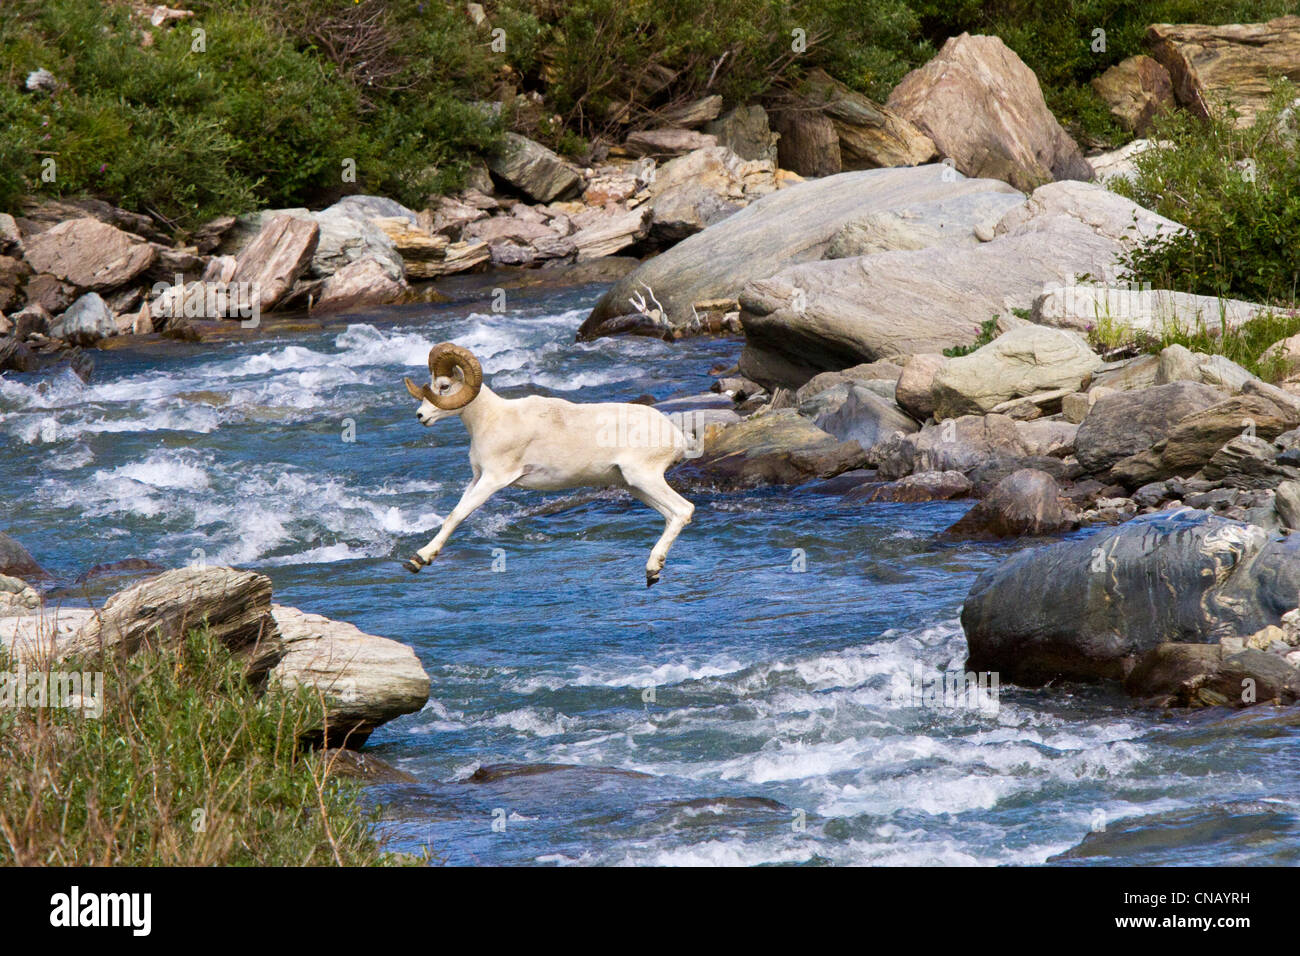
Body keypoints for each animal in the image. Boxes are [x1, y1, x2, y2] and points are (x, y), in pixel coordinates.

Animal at [401, 342, 695, 586]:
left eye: (444, 386)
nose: (420, 416)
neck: (492, 419)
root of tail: (675, 435)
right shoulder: (477, 478)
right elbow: (452, 514)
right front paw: (419, 560)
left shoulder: (494, 479)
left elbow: (458, 515)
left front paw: (420, 559)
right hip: (634, 486)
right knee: (670, 516)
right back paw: (653, 572)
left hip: (644, 478)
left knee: (683, 510)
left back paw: (652, 568)